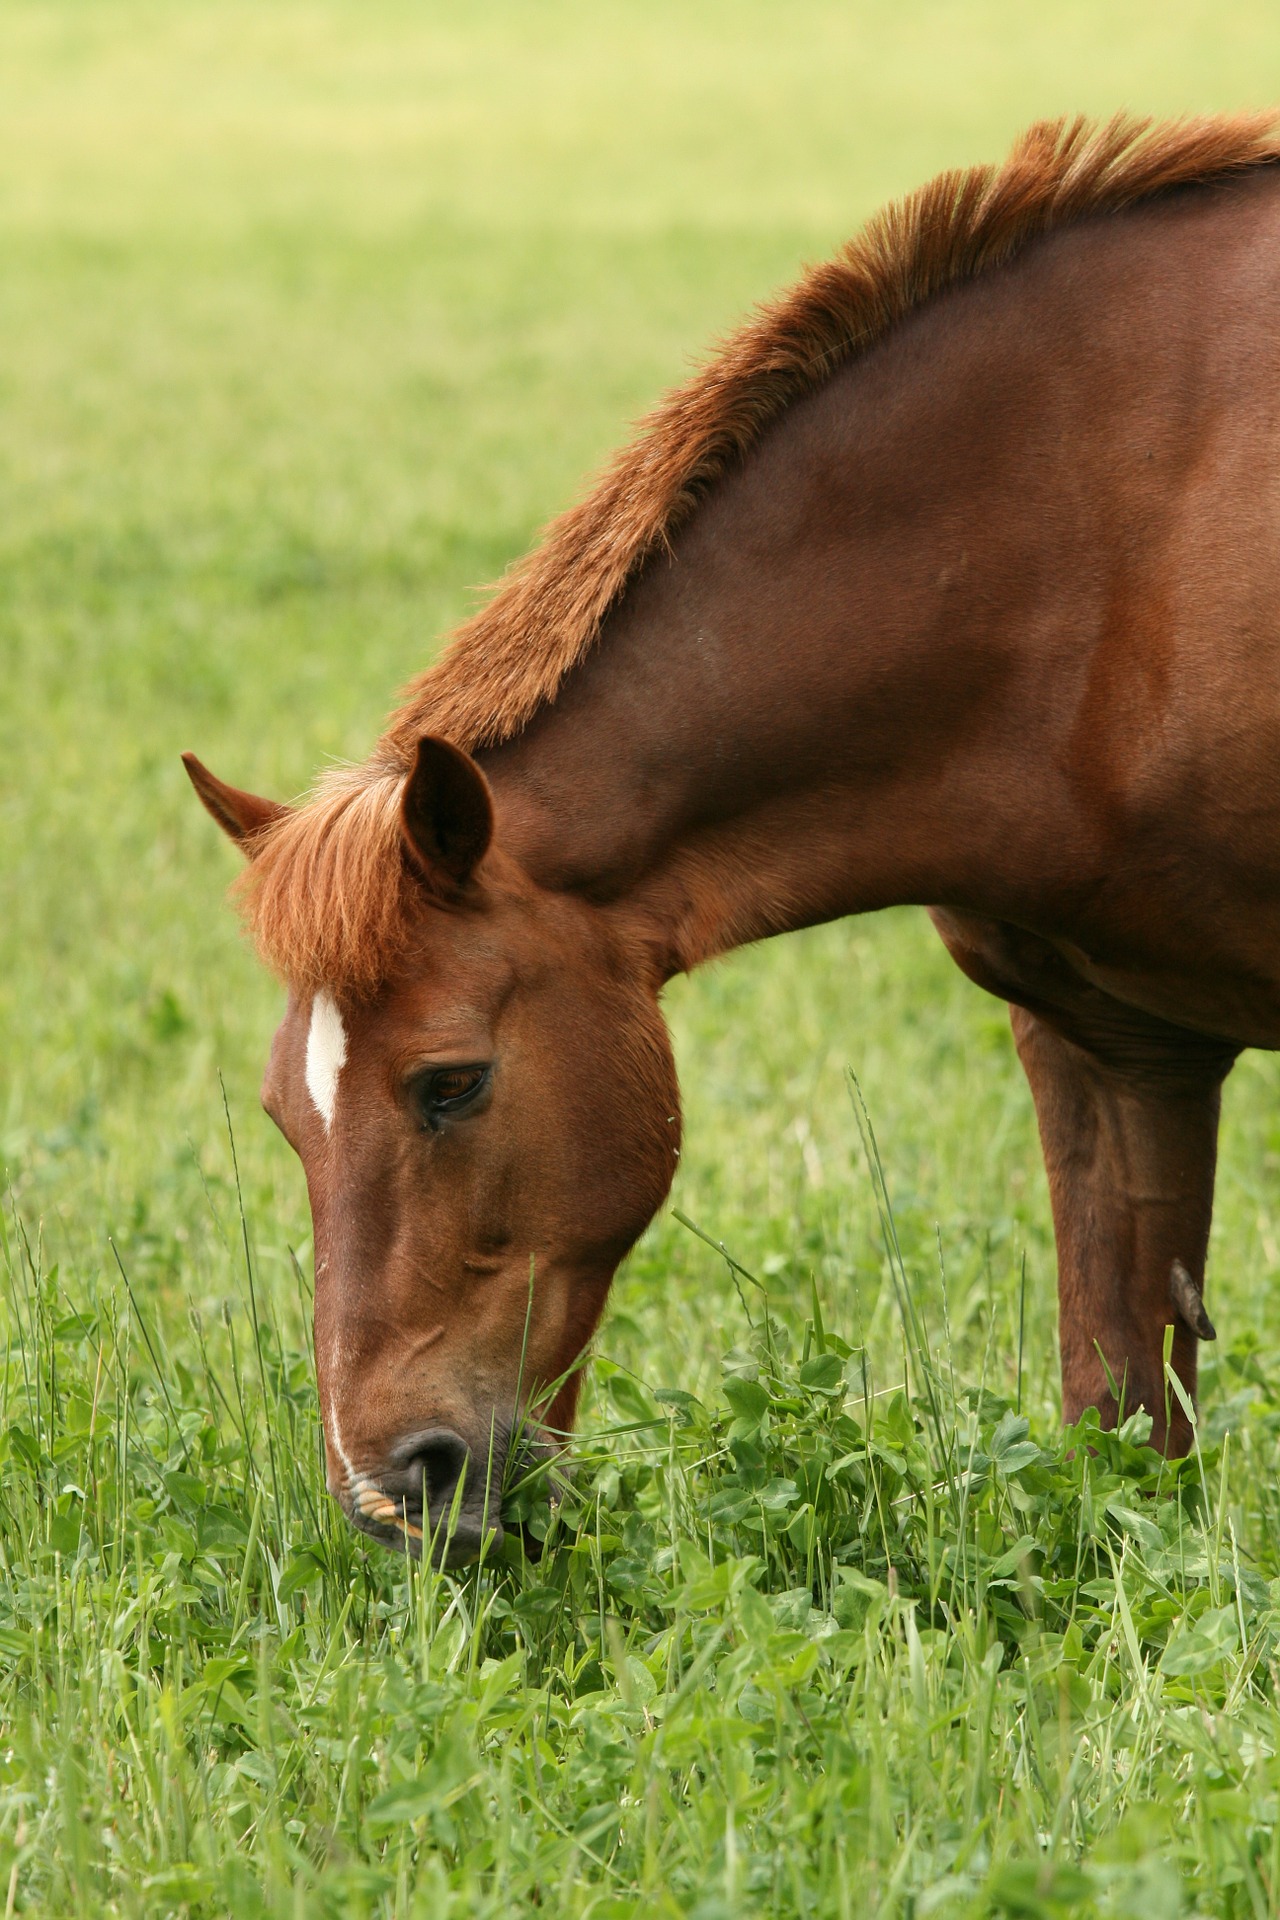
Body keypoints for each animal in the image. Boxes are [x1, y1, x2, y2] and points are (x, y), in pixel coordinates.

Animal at [186, 113, 1280, 1562]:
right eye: (281, 1114)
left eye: (450, 1084)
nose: (389, 1489)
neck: (1119, 537)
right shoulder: (1111, 1045)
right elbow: (1120, 1421)